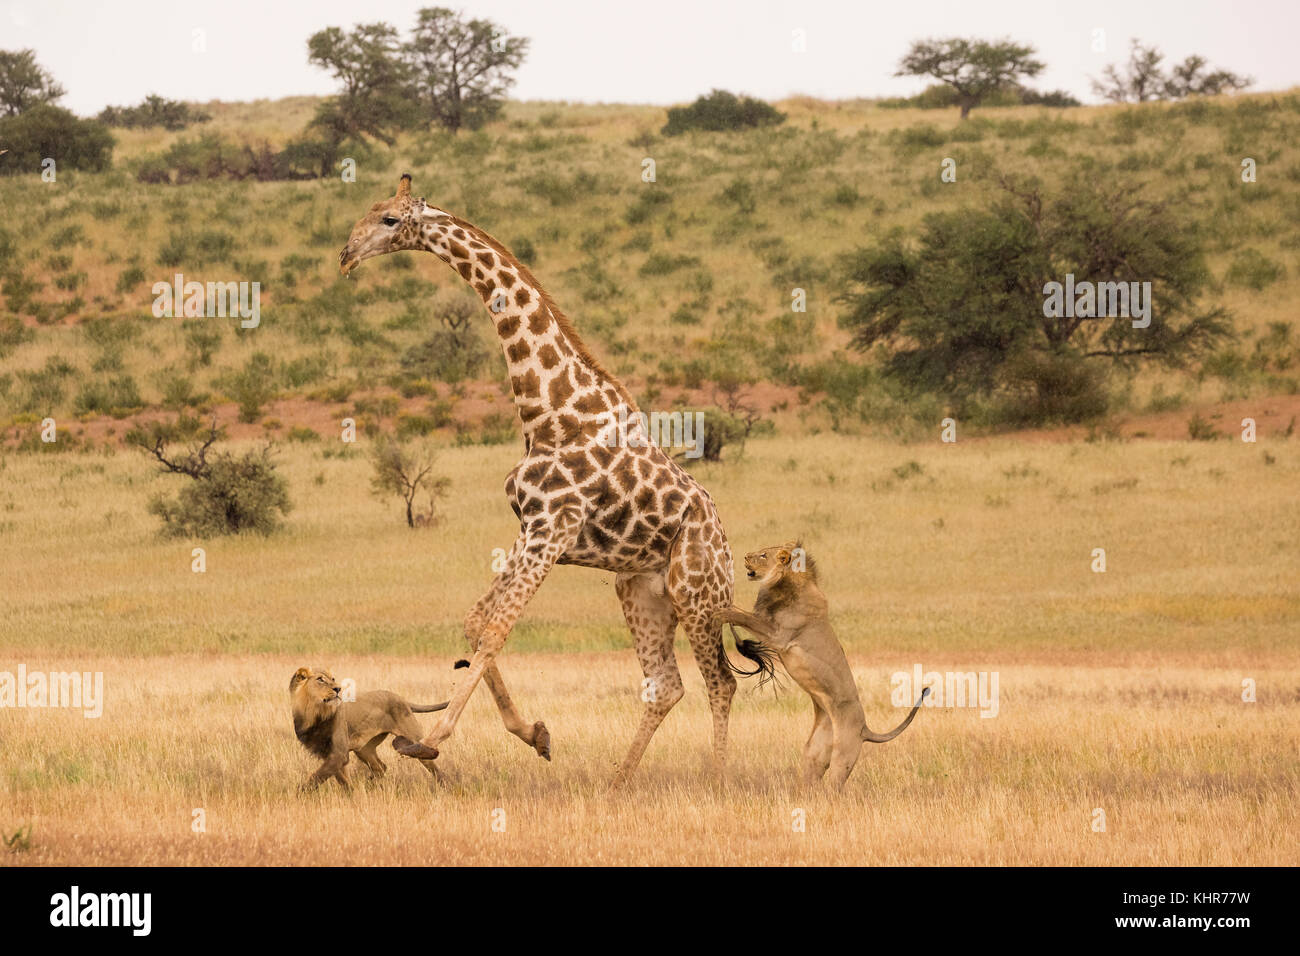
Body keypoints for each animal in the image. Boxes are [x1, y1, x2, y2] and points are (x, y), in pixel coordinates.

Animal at [290, 667, 449, 791]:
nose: (338, 688)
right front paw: (352, 793)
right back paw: (370, 785)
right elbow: (340, 778)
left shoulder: (339, 753)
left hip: (417, 743)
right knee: (381, 767)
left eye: (333, 678)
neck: (313, 713)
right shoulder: (328, 754)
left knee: (436, 770)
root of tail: (402, 699)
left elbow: (317, 776)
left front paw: (298, 794)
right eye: (320, 679)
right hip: (364, 749)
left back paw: (446, 787)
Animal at [339, 174, 771, 785]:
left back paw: (715, 779)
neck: (548, 410)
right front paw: (534, 734)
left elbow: (496, 629)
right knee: (665, 686)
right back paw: (617, 783)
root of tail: (727, 546)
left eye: (391, 220)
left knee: (722, 682)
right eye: (370, 210)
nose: (347, 254)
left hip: (696, 591)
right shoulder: (531, 530)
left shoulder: (553, 530)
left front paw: (431, 741)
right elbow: (476, 621)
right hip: (641, 588)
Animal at [714, 543, 929, 789]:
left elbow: (746, 617)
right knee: (811, 776)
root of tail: (865, 728)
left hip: (843, 754)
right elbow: (744, 613)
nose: (745, 557)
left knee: (834, 786)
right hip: (815, 750)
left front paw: (722, 611)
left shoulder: (779, 635)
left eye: (763, 555)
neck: (782, 584)